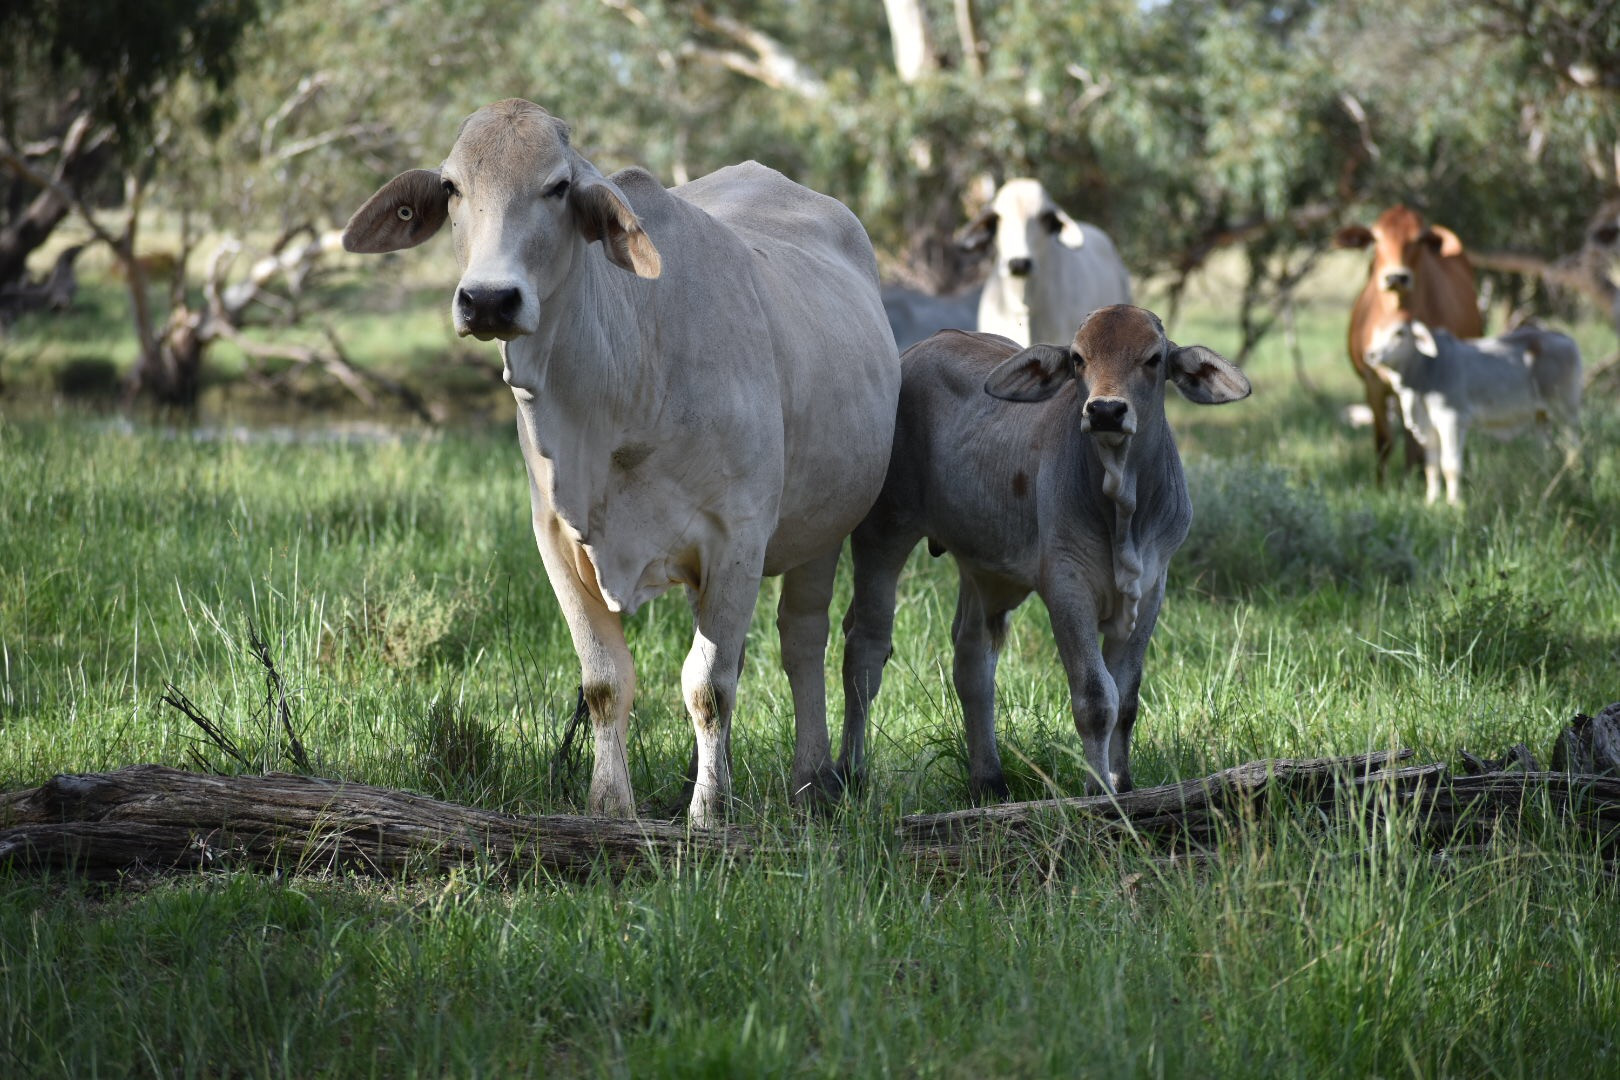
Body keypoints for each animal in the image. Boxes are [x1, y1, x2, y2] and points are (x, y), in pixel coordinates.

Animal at [341, 100, 900, 825]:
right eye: (452, 187)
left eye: (557, 187)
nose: (489, 299)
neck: (623, 383)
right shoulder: (556, 538)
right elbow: (606, 681)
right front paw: (611, 805)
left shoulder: (739, 538)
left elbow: (708, 686)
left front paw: (708, 814)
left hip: (822, 531)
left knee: (802, 643)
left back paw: (811, 782)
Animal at [838, 306, 1250, 801]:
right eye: (1078, 358)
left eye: (1153, 358)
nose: (1106, 411)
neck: (1122, 506)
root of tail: (916, 350)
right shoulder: (1066, 586)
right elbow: (1097, 698)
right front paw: (1098, 790)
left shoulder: (1152, 587)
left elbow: (1127, 698)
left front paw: (1123, 783)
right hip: (882, 531)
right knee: (865, 648)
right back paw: (849, 774)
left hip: (982, 566)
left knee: (972, 659)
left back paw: (989, 780)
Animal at [1334, 205, 1483, 482]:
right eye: (1376, 238)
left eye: (1418, 240)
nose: (1396, 277)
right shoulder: (1373, 384)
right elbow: (1383, 440)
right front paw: (1381, 485)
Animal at [1364, 319, 1582, 506]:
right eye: (1377, 331)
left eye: (1399, 333)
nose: (1371, 355)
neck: (1424, 372)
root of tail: (1563, 337)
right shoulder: (1429, 428)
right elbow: (1431, 467)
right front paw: (1431, 501)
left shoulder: (1451, 420)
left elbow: (1450, 465)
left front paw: (1453, 503)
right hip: (1541, 416)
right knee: (1546, 449)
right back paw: (1546, 477)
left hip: (1567, 409)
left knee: (1574, 445)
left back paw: (1575, 474)